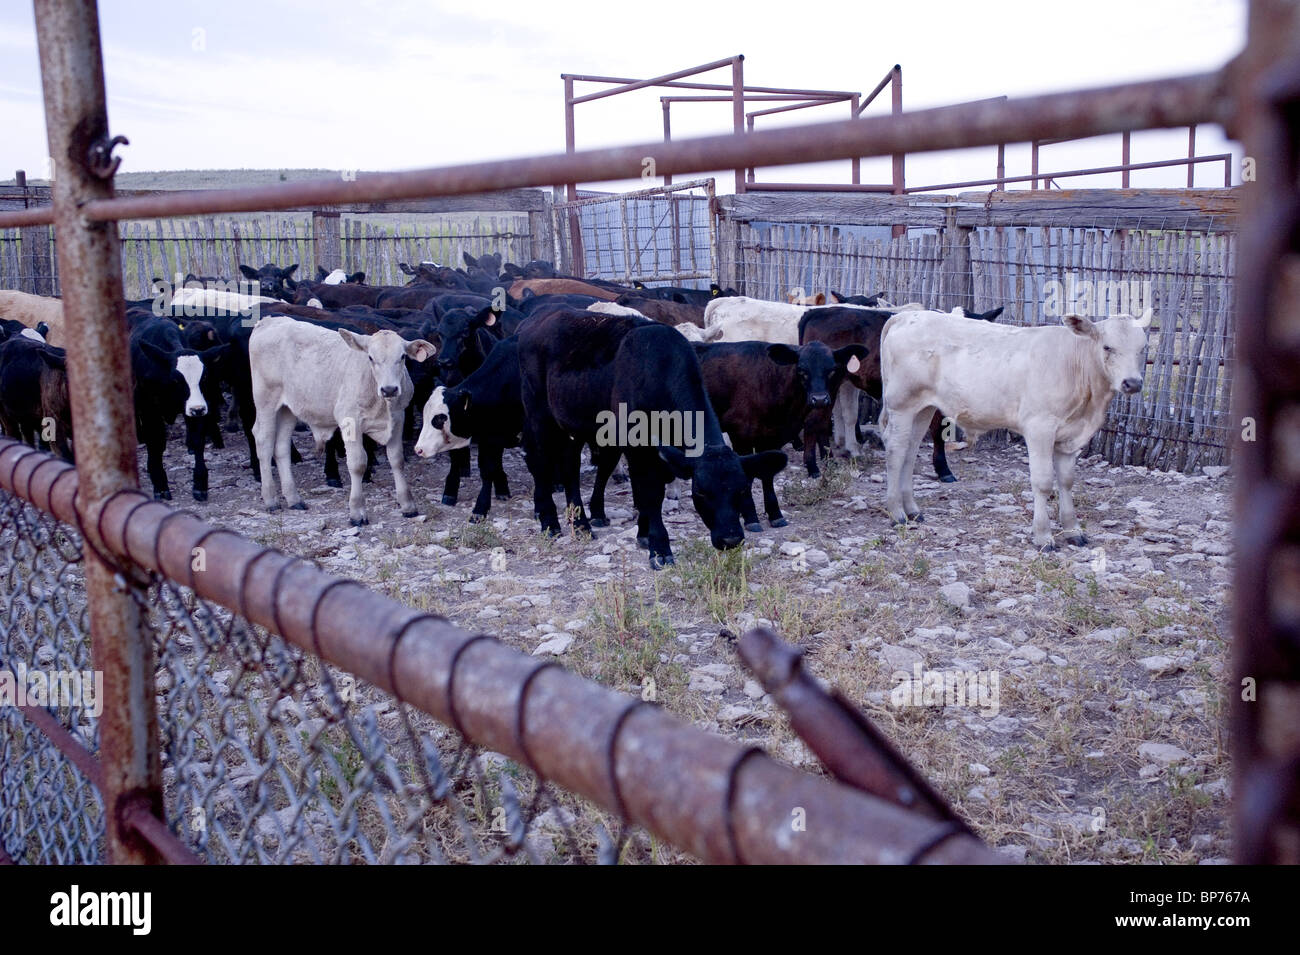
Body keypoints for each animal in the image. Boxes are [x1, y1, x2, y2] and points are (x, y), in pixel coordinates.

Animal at [249, 315, 435, 525]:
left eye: (402, 357)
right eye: (370, 358)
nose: (389, 389)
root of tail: (269, 321)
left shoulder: (398, 418)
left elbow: (397, 460)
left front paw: (407, 505)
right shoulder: (349, 419)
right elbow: (357, 464)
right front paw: (357, 511)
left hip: (288, 408)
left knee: (281, 447)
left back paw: (294, 499)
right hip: (265, 400)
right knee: (264, 441)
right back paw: (270, 499)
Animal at [518, 308, 786, 569]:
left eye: (742, 489)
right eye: (700, 492)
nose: (730, 539)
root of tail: (536, 318)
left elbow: (644, 490)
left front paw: (644, 535)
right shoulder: (636, 445)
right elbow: (650, 493)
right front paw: (659, 548)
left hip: (572, 426)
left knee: (570, 469)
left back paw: (581, 525)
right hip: (538, 413)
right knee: (541, 462)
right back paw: (549, 523)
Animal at [695, 340, 867, 526]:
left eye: (832, 370)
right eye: (802, 370)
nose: (820, 399)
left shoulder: (772, 439)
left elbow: (767, 474)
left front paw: (774, 514)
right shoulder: (740, 435)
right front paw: (750, 517)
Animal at [880, 308, 1153, 549]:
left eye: (1142, 349)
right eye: (1107, 347)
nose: (1132, 383)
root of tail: (906, 316)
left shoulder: (1070, 436)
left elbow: (1066, 481)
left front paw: (1073, 530)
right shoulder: (1039, 427)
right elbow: (1043, 482)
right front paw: (1043, 536)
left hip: (923, 408)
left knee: (910, 452)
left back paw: (912, 510)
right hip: (901, 404)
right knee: (896, 452)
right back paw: (897, 513)